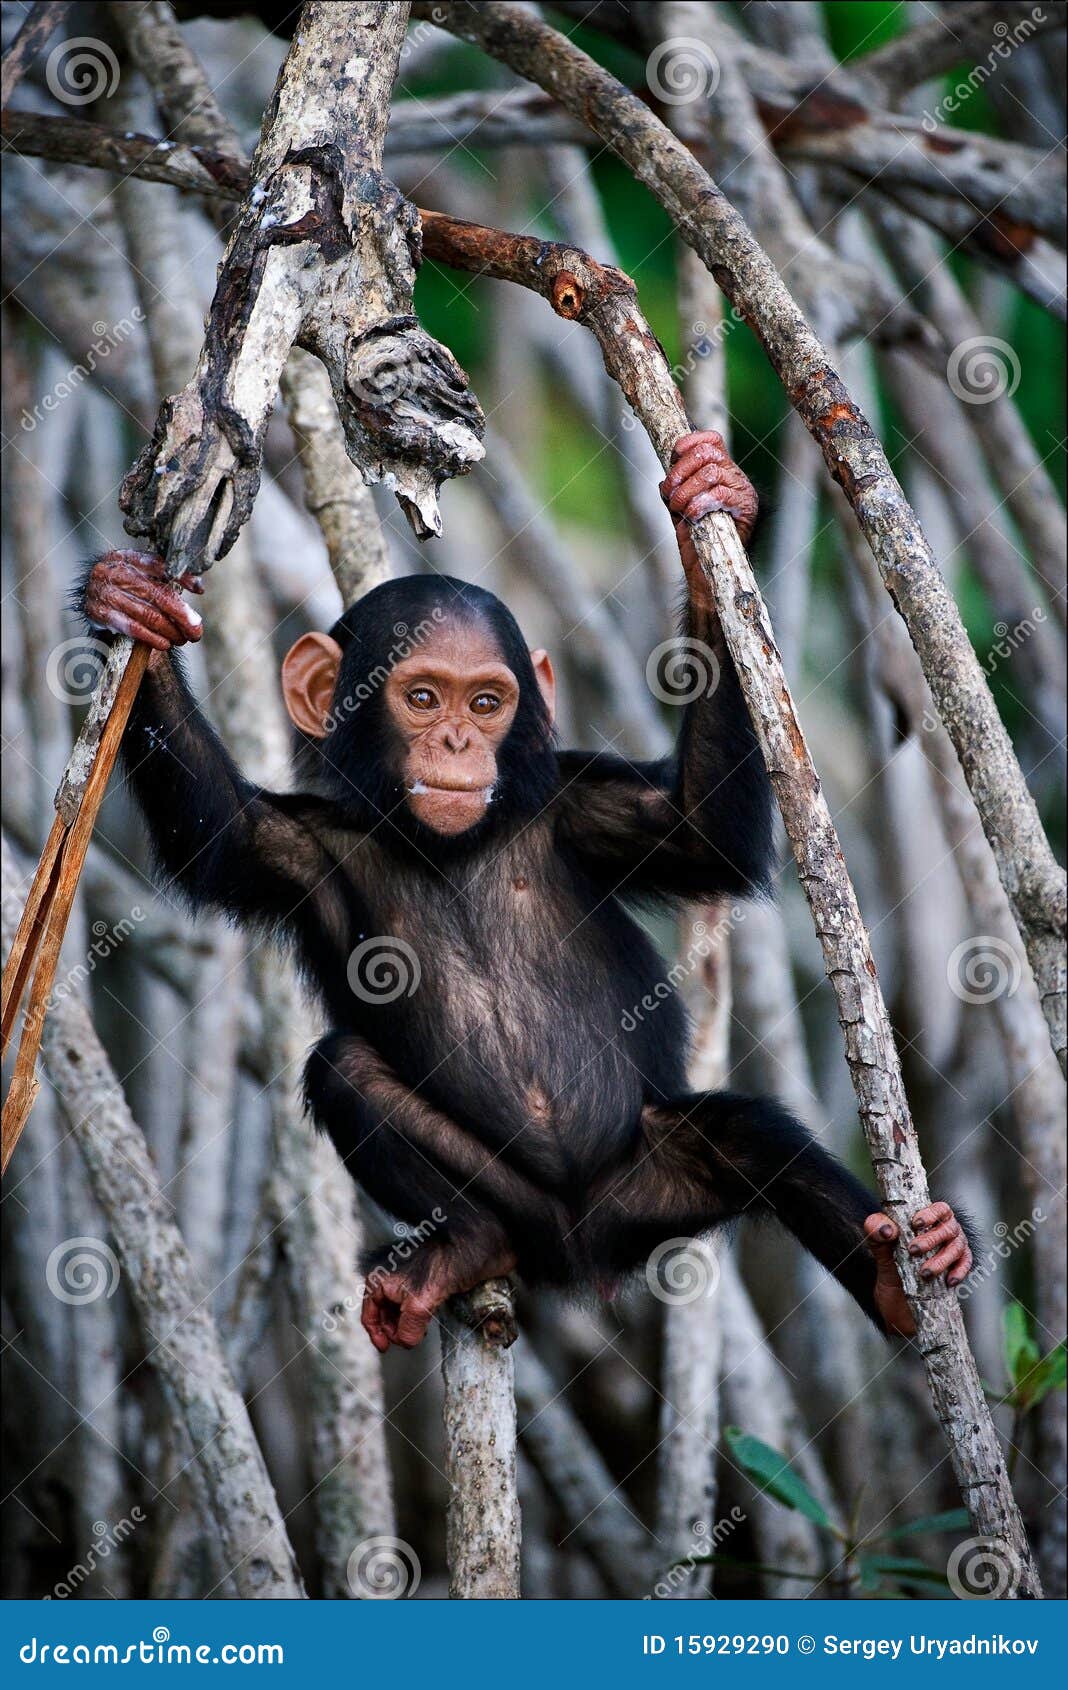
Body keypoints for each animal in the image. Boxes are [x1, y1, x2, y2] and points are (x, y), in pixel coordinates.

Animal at [81, 431, 972, 1352]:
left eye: (487, 700)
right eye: (422, 696)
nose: (457, 740)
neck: (450, 847)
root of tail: (585, 1251)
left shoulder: (584, 808)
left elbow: (701, 830)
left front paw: (709, 512)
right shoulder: (295, 848)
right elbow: (216, 831)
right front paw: (130, 604)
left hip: (654, 1180)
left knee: (750, 1141)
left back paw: (899, 1274)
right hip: (521, 1205)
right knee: (345, 1072)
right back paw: (460, 1252)